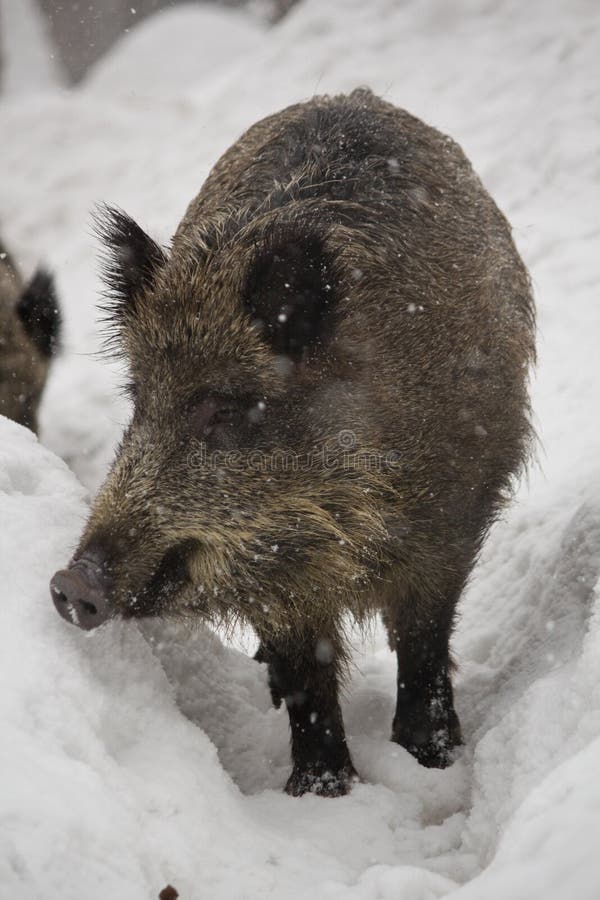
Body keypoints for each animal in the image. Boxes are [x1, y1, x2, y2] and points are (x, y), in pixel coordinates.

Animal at [50, 88, 535, 797]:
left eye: (222, 409)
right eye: (139, 398)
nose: (68, 584)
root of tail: (355, 92)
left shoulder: (451, 520)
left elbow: (422, 639)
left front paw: (430, 759)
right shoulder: (277, 579)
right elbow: (307, 673)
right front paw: (321, 793)